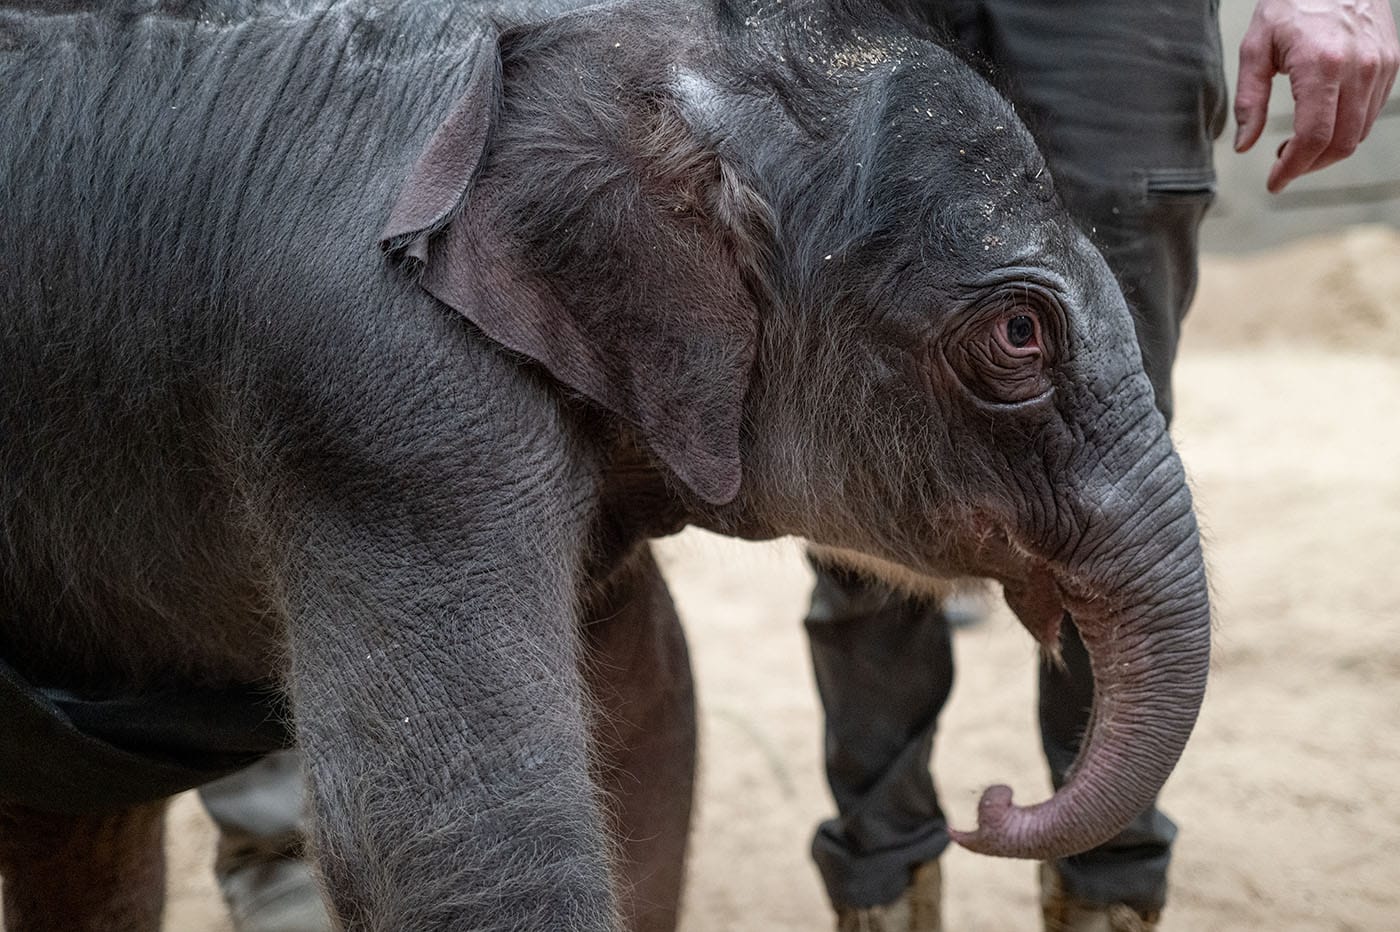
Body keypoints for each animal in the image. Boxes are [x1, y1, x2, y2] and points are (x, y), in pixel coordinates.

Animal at [0, 0, 1212, 928]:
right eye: (1018, 334)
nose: (989, 803)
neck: (638, 56)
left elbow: (645, 726)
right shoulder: (377, 403)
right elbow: (450, 832)